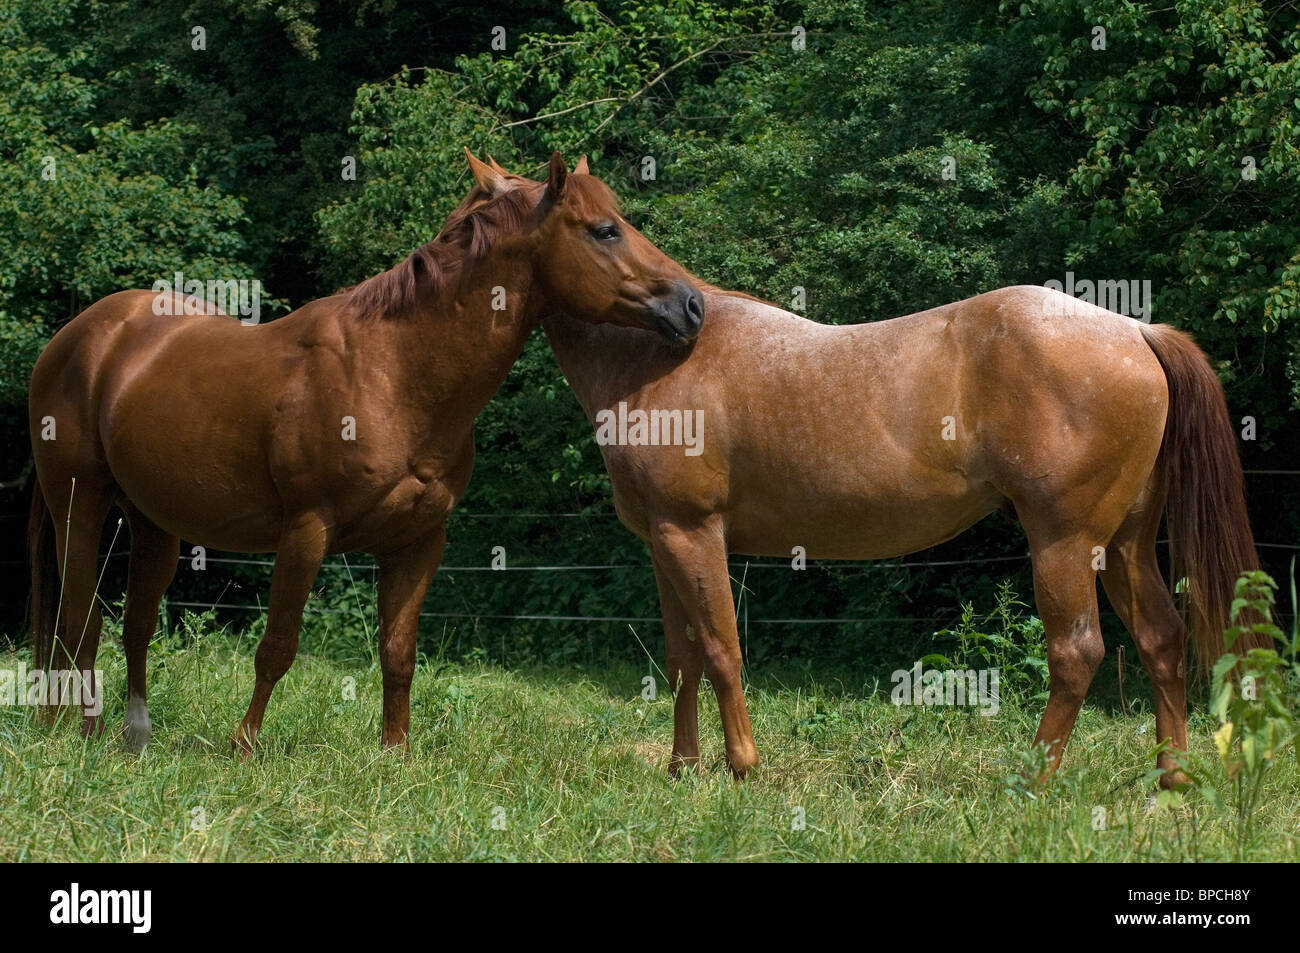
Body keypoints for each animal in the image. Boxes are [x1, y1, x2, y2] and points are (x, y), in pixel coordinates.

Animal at [26, 150, 705, 753]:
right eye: (604, 230)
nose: (692, 304)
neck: (393, 373)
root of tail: (80, 336)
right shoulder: (306, 531)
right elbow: (277, 646)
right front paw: (244, 745)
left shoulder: (417, 541)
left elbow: (399, 654)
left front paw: (394, 753)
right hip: (79, 503)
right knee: (79, 617)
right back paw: (80, 733)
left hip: (154, 523)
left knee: (134, 625)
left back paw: (132, 737)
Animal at [535, 184, 1268, 790]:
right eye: (604, 228)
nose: (684, 308)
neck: (651, 365)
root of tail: (1139, 331)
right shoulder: (663, 542)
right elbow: (682, 655)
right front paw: (682, 768)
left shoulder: (691, 532)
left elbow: (719, 650)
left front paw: (740, 768)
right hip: (1124, 543)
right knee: (1161, 637)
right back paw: (1172, 777)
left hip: (1065, 541)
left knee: (1078, 651)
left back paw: (1032, 781)